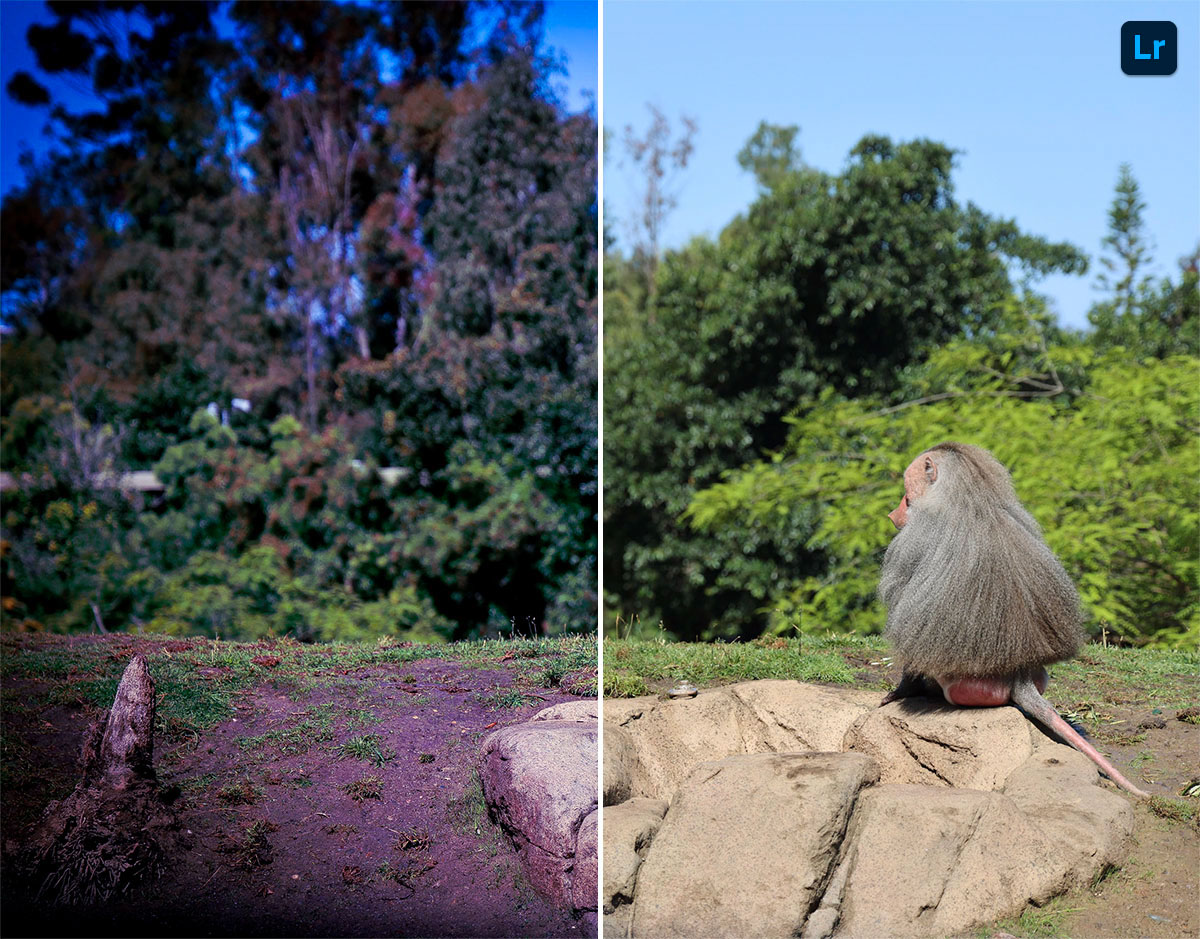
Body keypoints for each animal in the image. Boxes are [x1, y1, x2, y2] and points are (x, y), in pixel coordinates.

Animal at [877, 441, 1149, 798]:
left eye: (907, 497)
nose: (893, 515)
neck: (972, 497)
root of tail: (1018, 673)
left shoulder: (912, 539)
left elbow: (904, 613)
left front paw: (897, 692)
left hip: (963, 684)